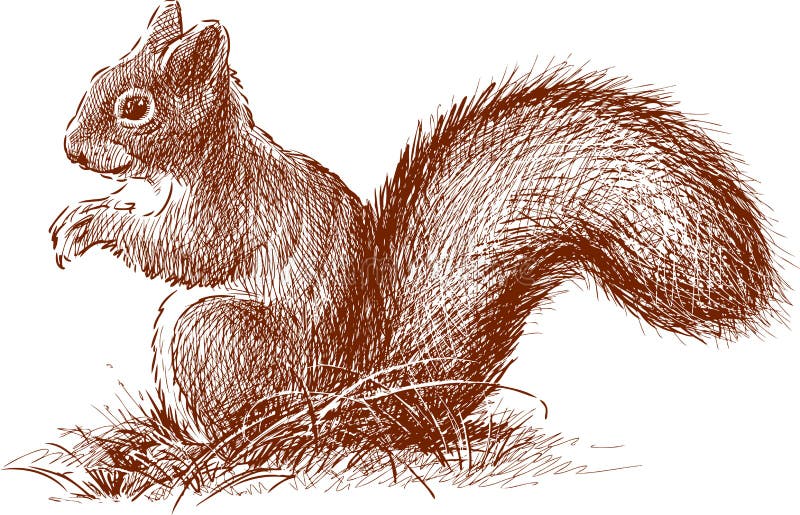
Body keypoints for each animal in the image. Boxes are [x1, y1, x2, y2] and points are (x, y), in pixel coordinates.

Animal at [51, 1, 784, 442]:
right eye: (96, 76)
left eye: (136, 107)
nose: (70, 149)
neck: (178, 165)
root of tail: (348, 400)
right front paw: (79, 214)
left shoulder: (230, 207)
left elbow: (182, 249)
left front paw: (90, 226)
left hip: (212, 335)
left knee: (254, 424)